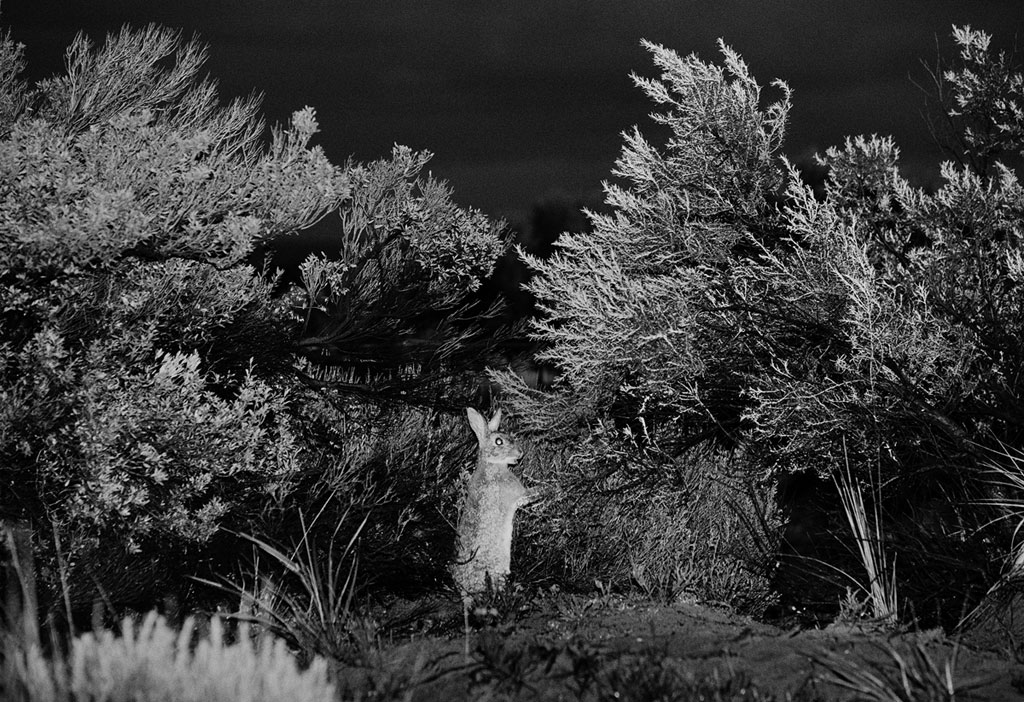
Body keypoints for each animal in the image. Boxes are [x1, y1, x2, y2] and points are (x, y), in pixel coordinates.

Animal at [452, 407, 542, 595]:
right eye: (498, 441)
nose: (520, 453)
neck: (492, 464)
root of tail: (466, 592)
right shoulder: (517, 494)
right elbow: (531, 494)